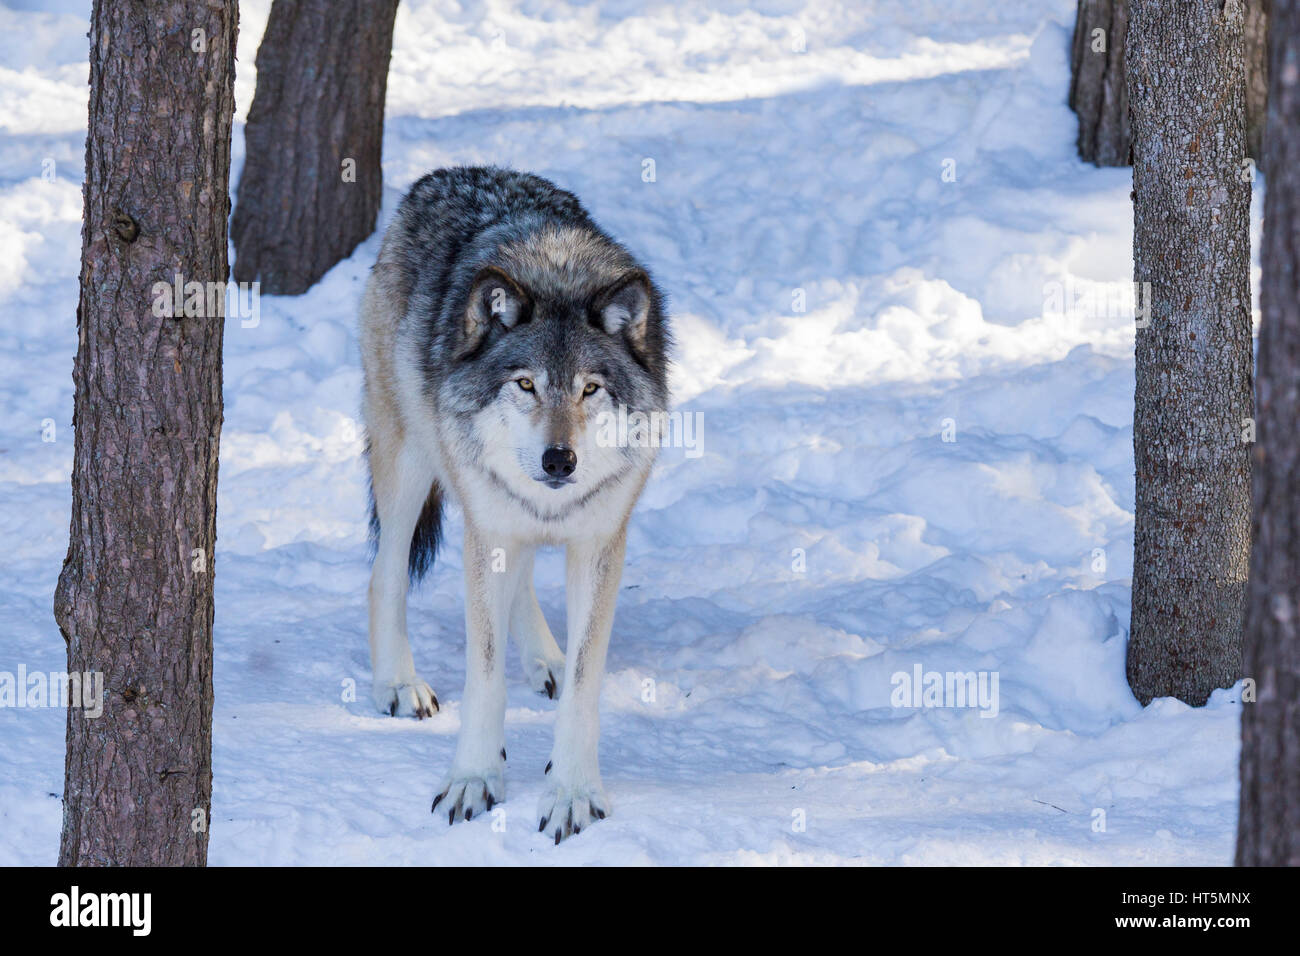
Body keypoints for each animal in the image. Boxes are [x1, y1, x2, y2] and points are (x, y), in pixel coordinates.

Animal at [359, 167, 669, 842]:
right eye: (525, 384)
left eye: (590, 389)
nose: (559, 461)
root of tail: (451, 172)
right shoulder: (489, 528)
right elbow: (484, 675)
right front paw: (474, 778)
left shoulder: (597, 543)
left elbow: (583, 681)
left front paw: (572, 792)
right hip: (414, 461)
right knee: (384, 573)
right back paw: (399, 683)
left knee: (522, 577)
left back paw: (544, 658)